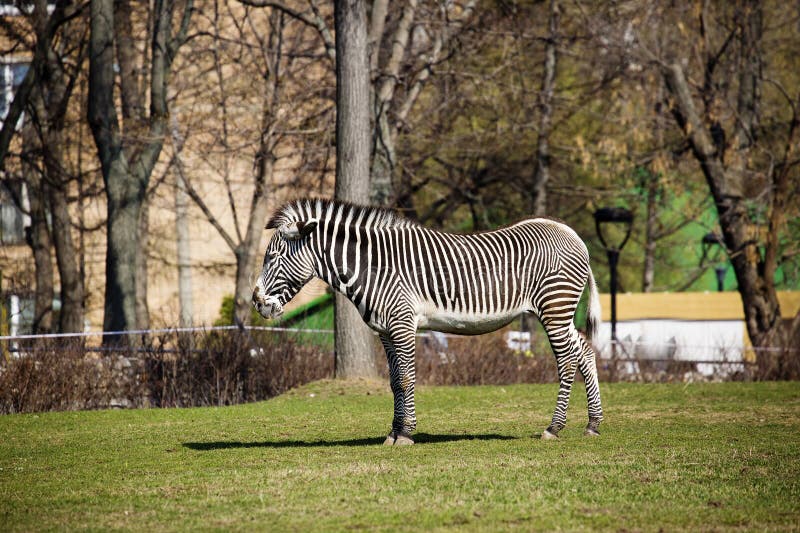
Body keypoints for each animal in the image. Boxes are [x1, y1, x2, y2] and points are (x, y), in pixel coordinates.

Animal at [252, 198, 603, 445]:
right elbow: (395, 381)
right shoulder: (385, 331)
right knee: (585, 351)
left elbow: (407, 379)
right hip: (560, 312)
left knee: (567, 361)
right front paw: (393, 433)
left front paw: (407, 434)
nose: (257, 302)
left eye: (274, 257)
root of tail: (571, 233)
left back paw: (554, 428)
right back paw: (593, 424)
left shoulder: (402, 323)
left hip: (554, 307)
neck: (372, 267)